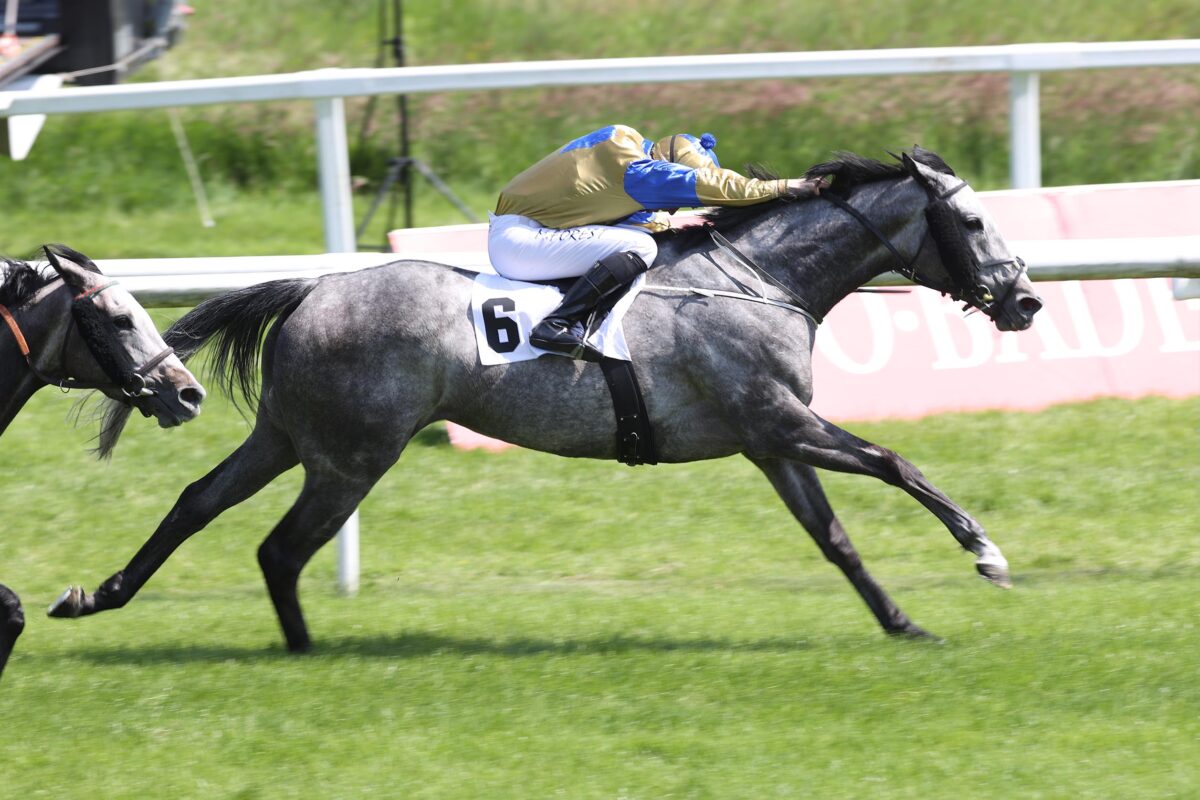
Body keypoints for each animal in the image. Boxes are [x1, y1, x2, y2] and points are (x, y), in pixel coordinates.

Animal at [50, 147, 1043, 649]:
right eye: (975, 219)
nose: (1026, 300)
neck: (761, 279)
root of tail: (310, 289)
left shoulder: (771, 440)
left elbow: (835, 539)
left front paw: (903, 621)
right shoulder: (781, 419)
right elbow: (895, 460)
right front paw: (987, 555)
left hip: (290, 437)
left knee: (198, 503)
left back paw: (98, 597)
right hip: (351, 456)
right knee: (281, 546)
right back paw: (303, 651)